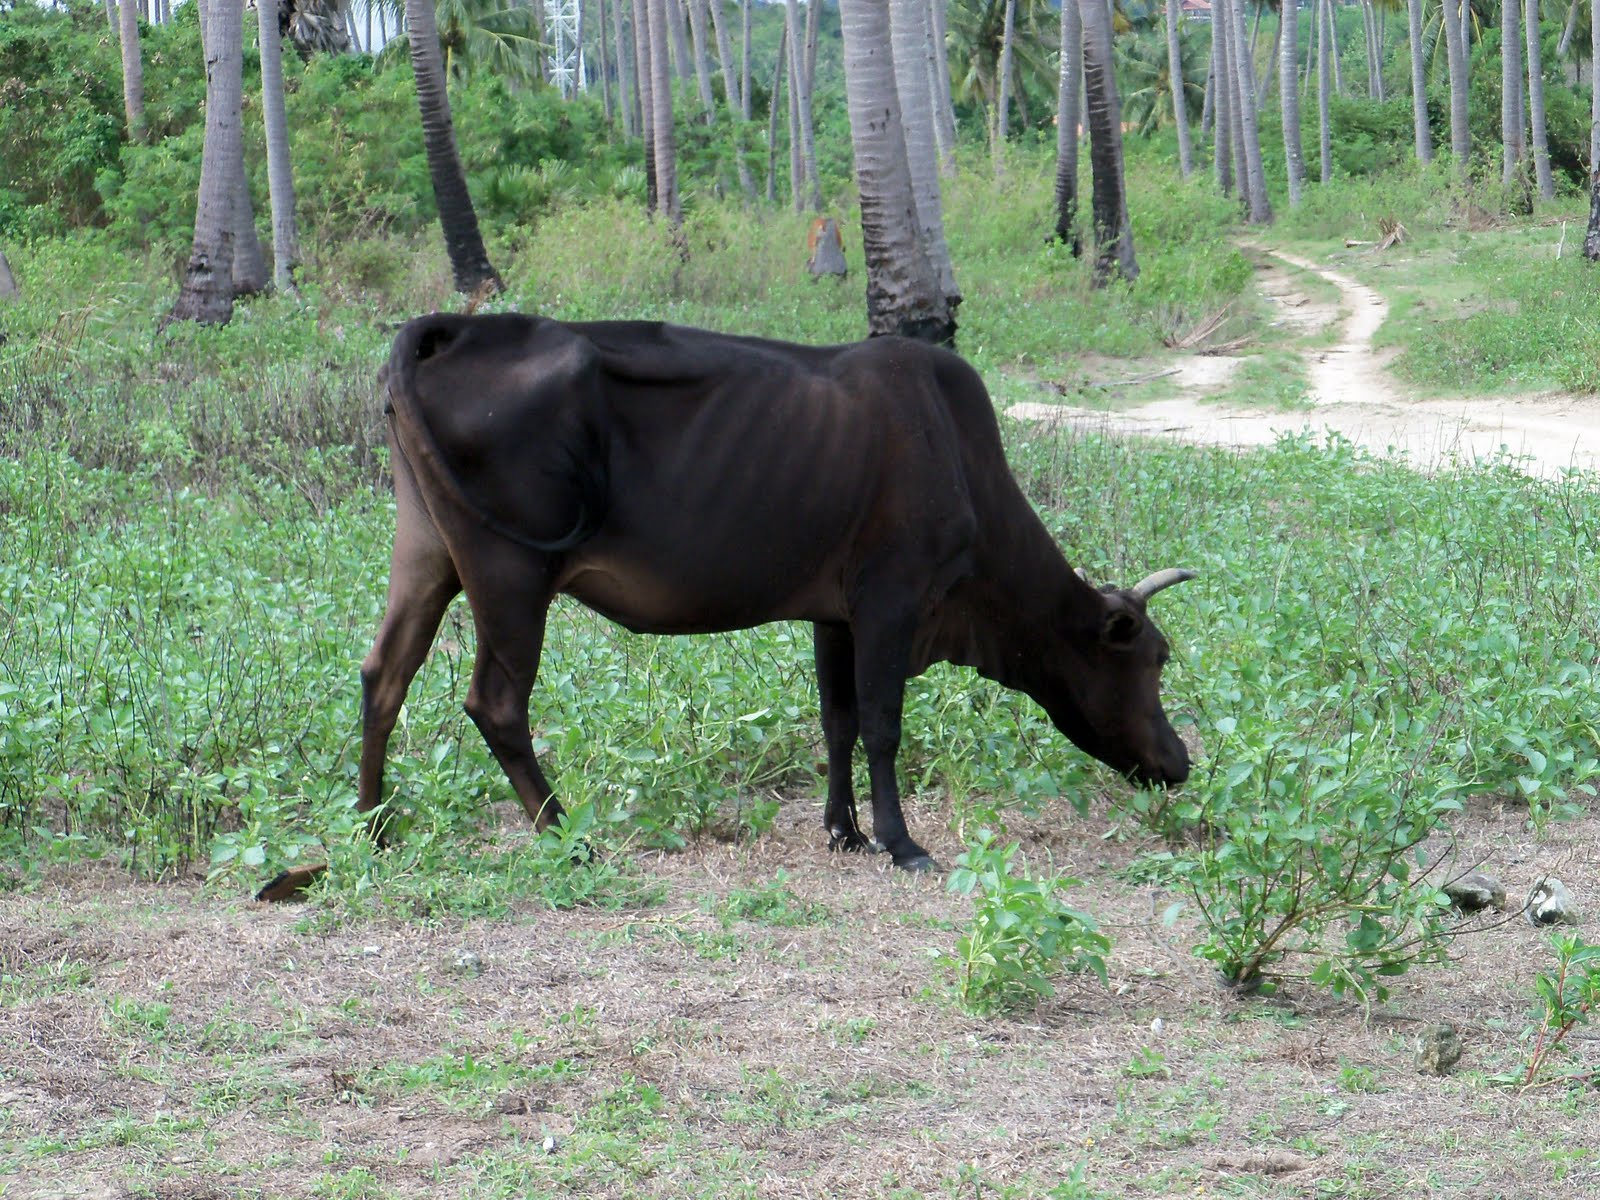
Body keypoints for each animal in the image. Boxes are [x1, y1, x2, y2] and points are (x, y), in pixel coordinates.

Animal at [255, 313, 1193, 900]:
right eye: (1148, 659)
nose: (1180, 761)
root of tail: (453, 327)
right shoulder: (891, 599)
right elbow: (884, 725)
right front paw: (902, 843)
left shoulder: (834, 615)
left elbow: (837, 723)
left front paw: (844, 831)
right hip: (510, 571)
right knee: (495, 702)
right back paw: (568, 837)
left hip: (425, 549)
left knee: (384, 674)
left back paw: (374, 828)